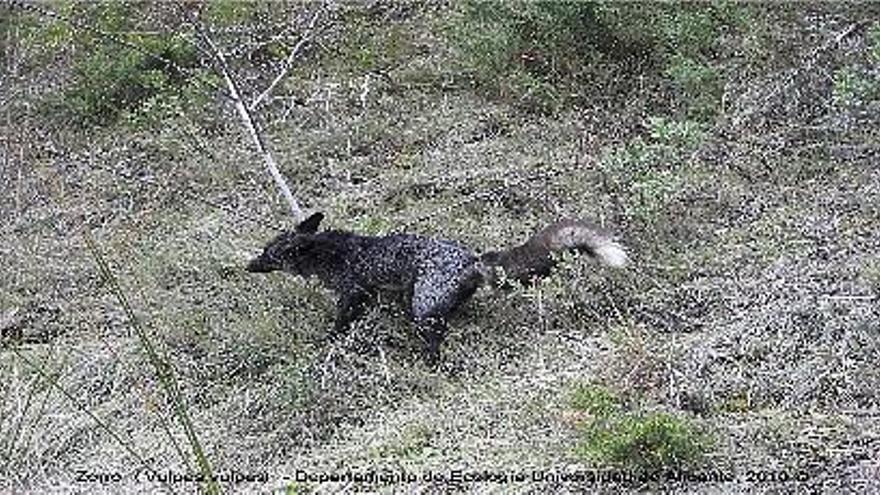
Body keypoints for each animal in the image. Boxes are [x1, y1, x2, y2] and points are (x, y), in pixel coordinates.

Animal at [247, 212, 627, 364]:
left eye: (268, 254)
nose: (248, 265)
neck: (334, 255)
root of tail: (471, 259)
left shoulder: (354, 294)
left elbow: (340, 324)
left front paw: (328, 341)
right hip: (422, 304)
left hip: (423, 312)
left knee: (434, 345)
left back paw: (427, 365)